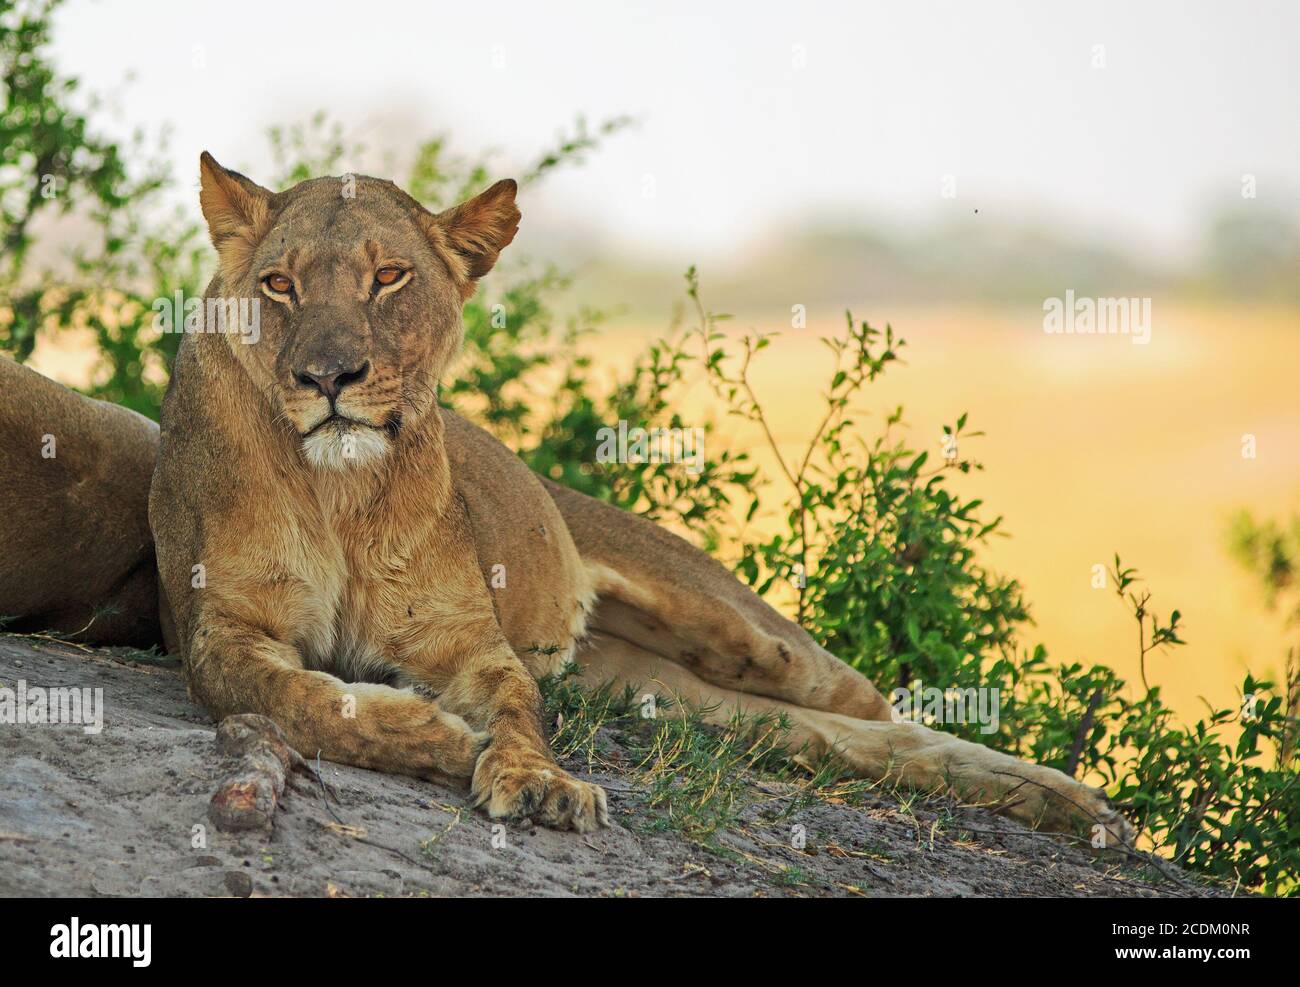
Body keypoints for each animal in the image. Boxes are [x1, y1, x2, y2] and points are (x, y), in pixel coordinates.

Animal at [0, 154, 1132, 840]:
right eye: (279, 285)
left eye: (389, 278)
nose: (328, 376)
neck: (345, 497)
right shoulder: (219, 632)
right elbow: (304, 697)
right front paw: (432, 737)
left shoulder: (469, 639)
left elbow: (517, 708)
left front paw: (536, 780)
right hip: (671, 693)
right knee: (839, 740)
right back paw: (1061, 808)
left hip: (751, 638)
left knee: (873, 707)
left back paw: (1082, 806)